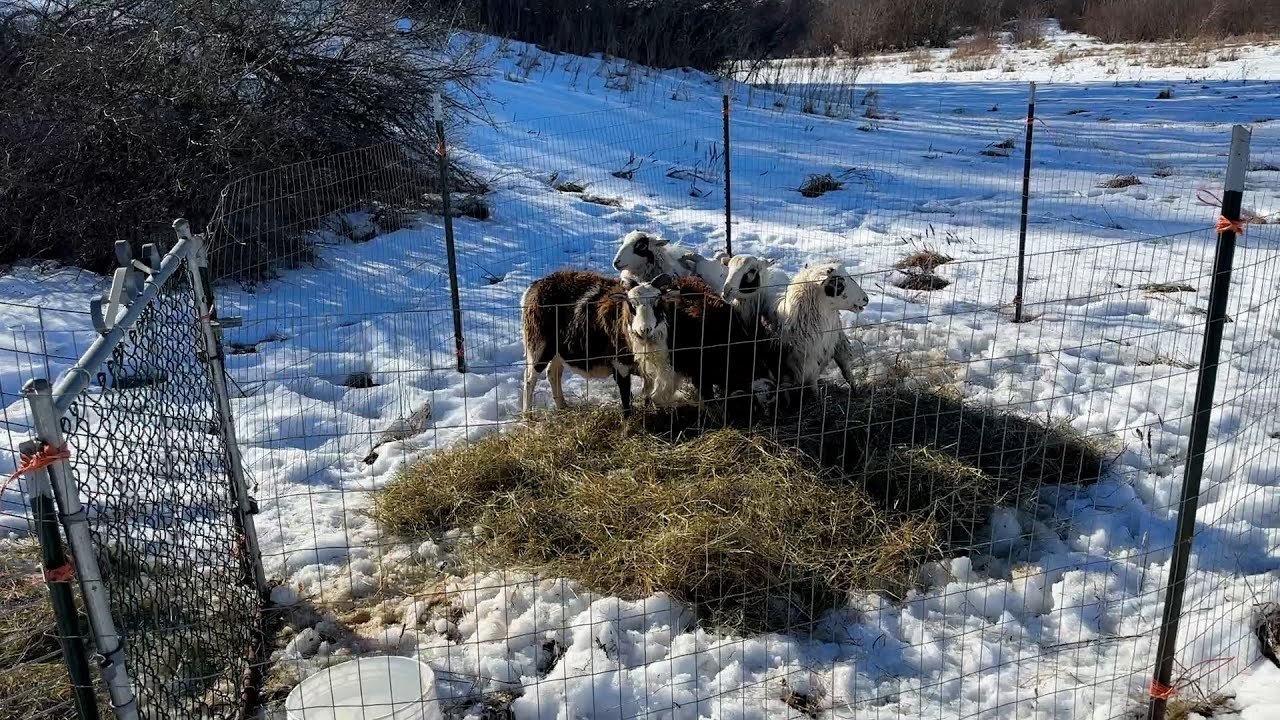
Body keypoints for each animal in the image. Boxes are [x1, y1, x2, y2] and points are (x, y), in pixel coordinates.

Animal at [521, 270, 680, 416]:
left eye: (658, 303)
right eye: (631, 305)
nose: (643, 329)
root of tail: (535, 287)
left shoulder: (646, 370)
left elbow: (647, 395)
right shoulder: (619, 365)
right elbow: (626, 402)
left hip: (558, 350)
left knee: (553, 372)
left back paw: (563, 406)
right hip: (538, 344)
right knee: (530, 378)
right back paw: (527, 415)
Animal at [771, 261, 870, 390]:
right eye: (839, 284)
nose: (866, 299)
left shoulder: (837, 344)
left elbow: (846, 370)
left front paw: (855, 389)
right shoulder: (806, 366)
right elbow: (813, 387)